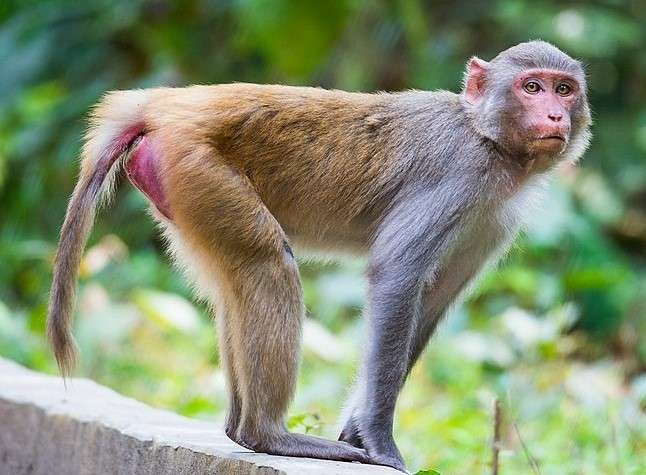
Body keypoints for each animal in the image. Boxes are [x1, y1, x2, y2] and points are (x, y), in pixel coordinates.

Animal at [47, 41, 591, 471]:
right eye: (532, 87)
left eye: (564, 89)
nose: (555, 116)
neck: (488, 139)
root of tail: (166, 104)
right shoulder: (459, 176)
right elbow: (397, 277)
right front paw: (378, 438)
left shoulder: (493, 218)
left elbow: (433, 300)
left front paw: (354, 430)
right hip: (199, 167)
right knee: (268, 264)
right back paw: (267, 435)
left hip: (183, 191)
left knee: (235, 284)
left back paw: (240, 428)